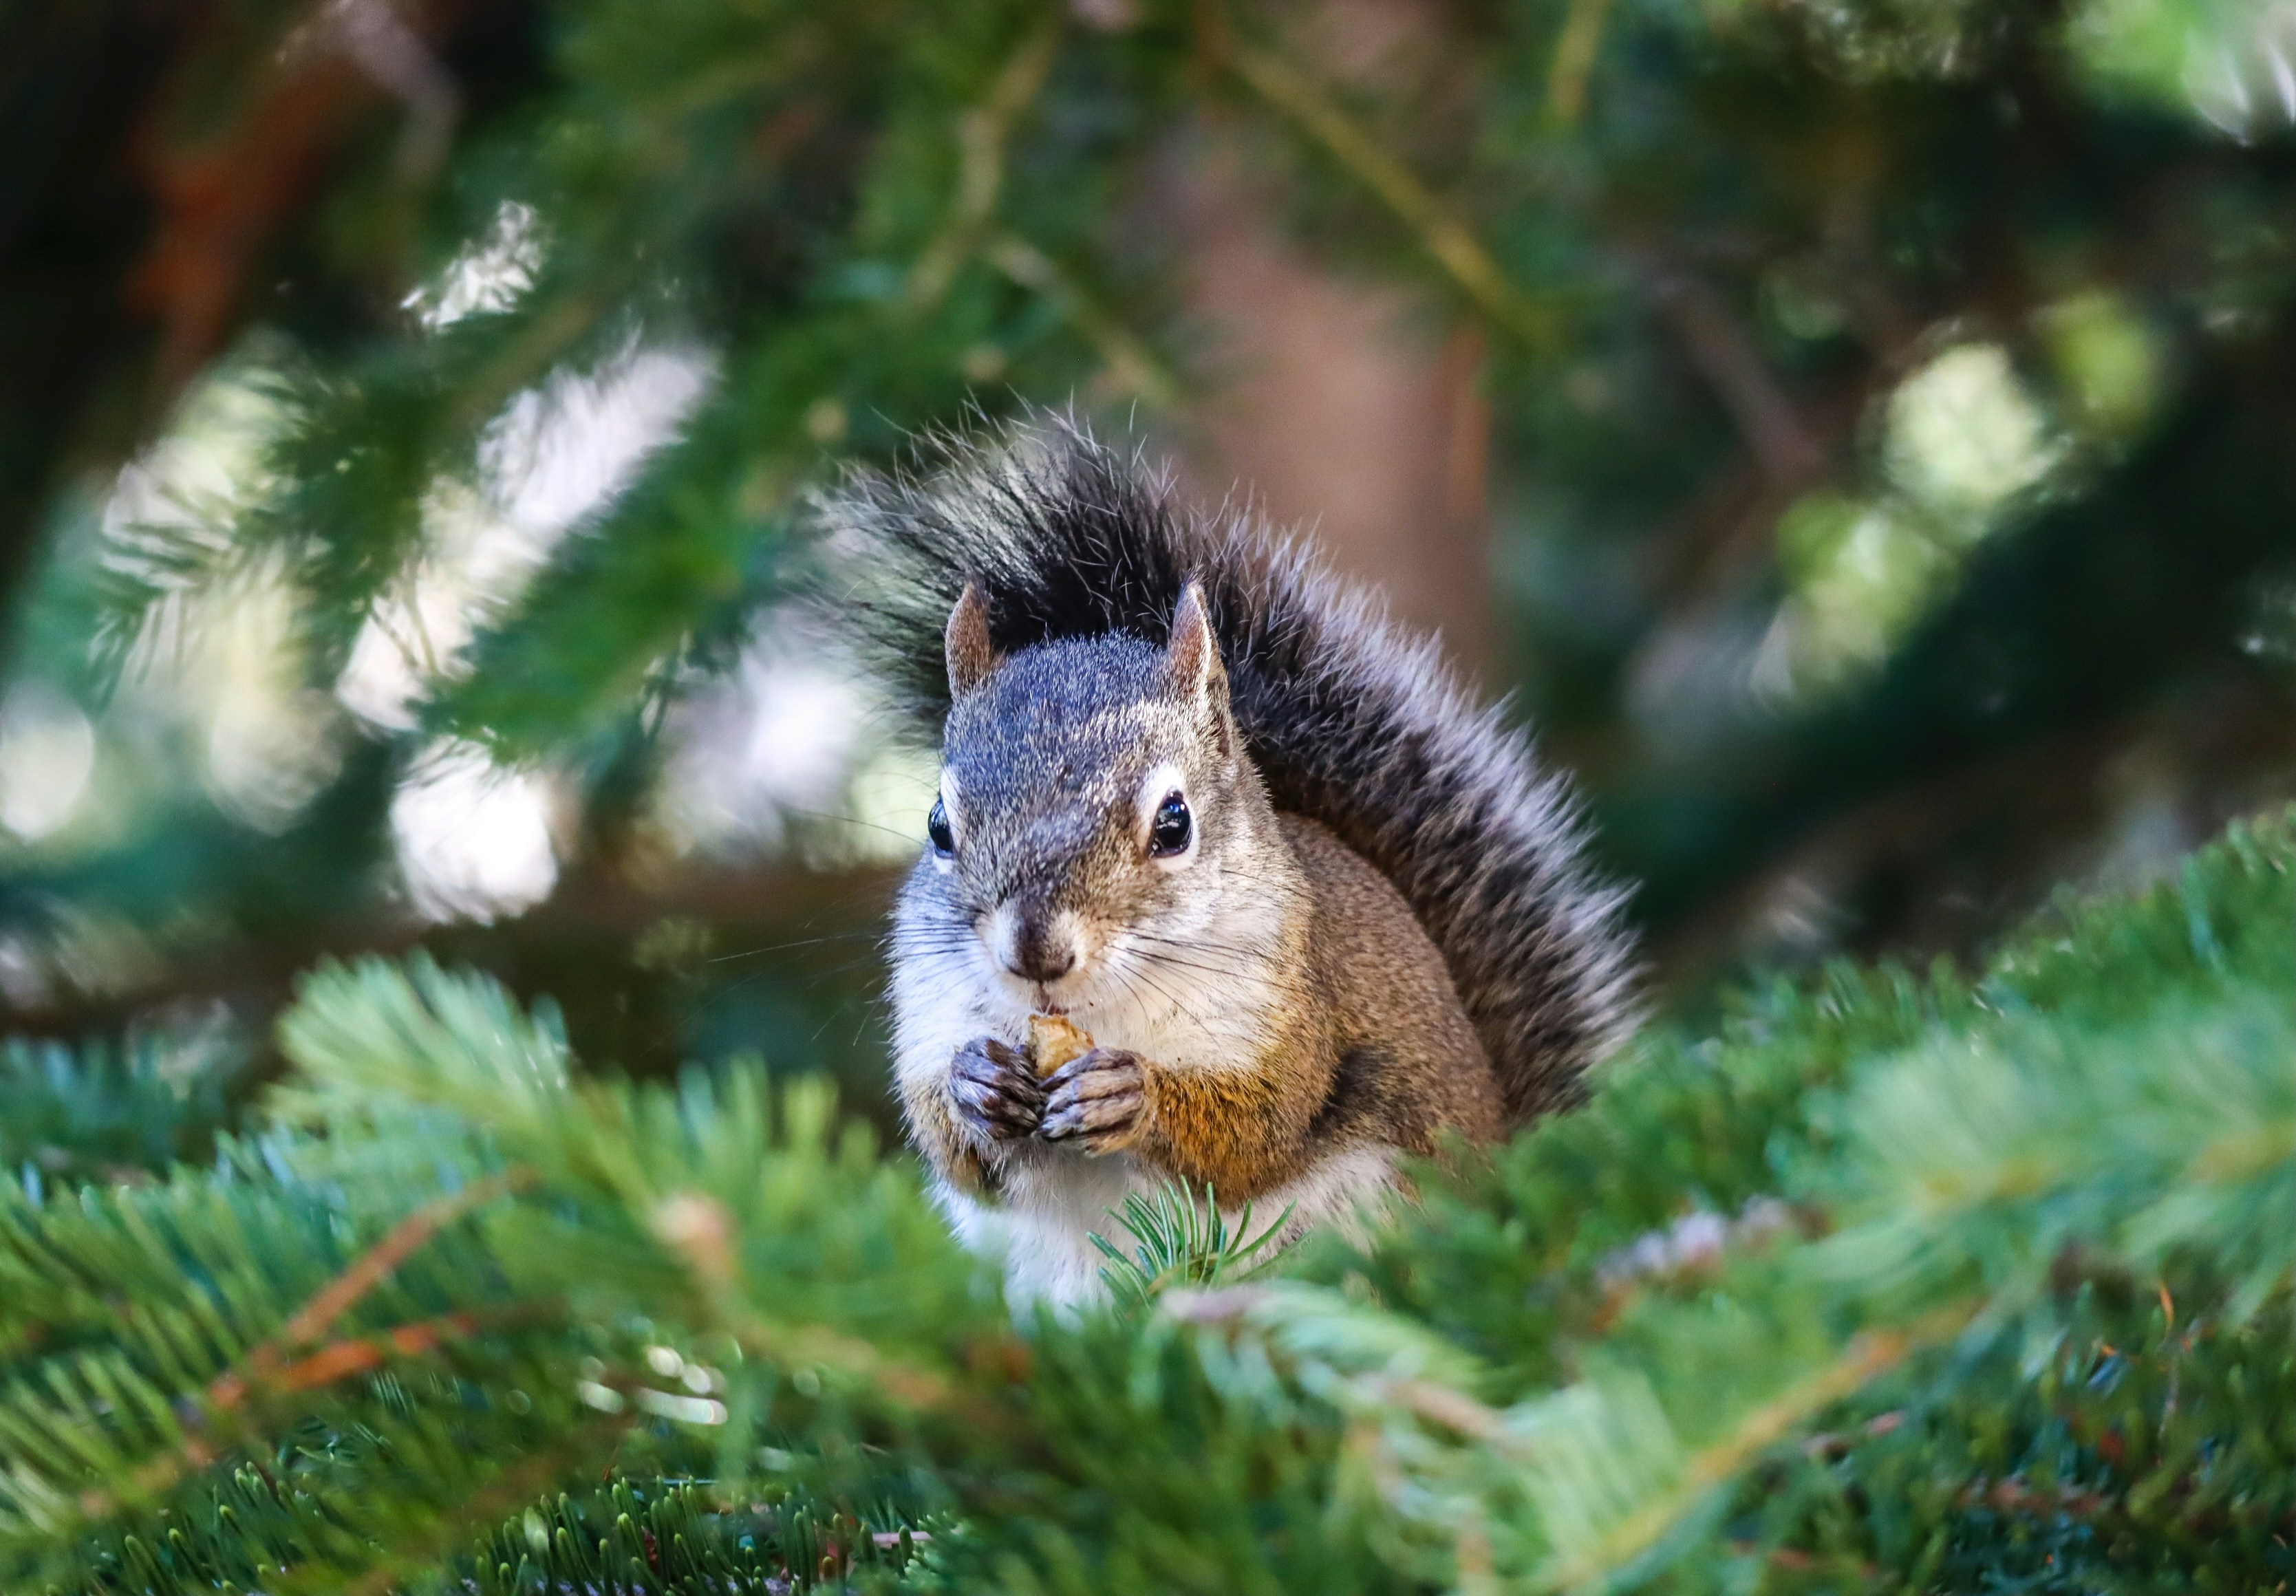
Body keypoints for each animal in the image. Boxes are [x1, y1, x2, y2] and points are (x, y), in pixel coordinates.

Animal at [822, 420, 1636, 1305]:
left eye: (1174, 824)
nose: (1036, 950)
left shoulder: (1291, 1012)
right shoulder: (932, 1006)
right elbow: (959, 1154)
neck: (1097, 1012)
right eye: (939, 826)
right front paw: (975, 1085)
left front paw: (1133, 1096)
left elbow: (1259, 1131)